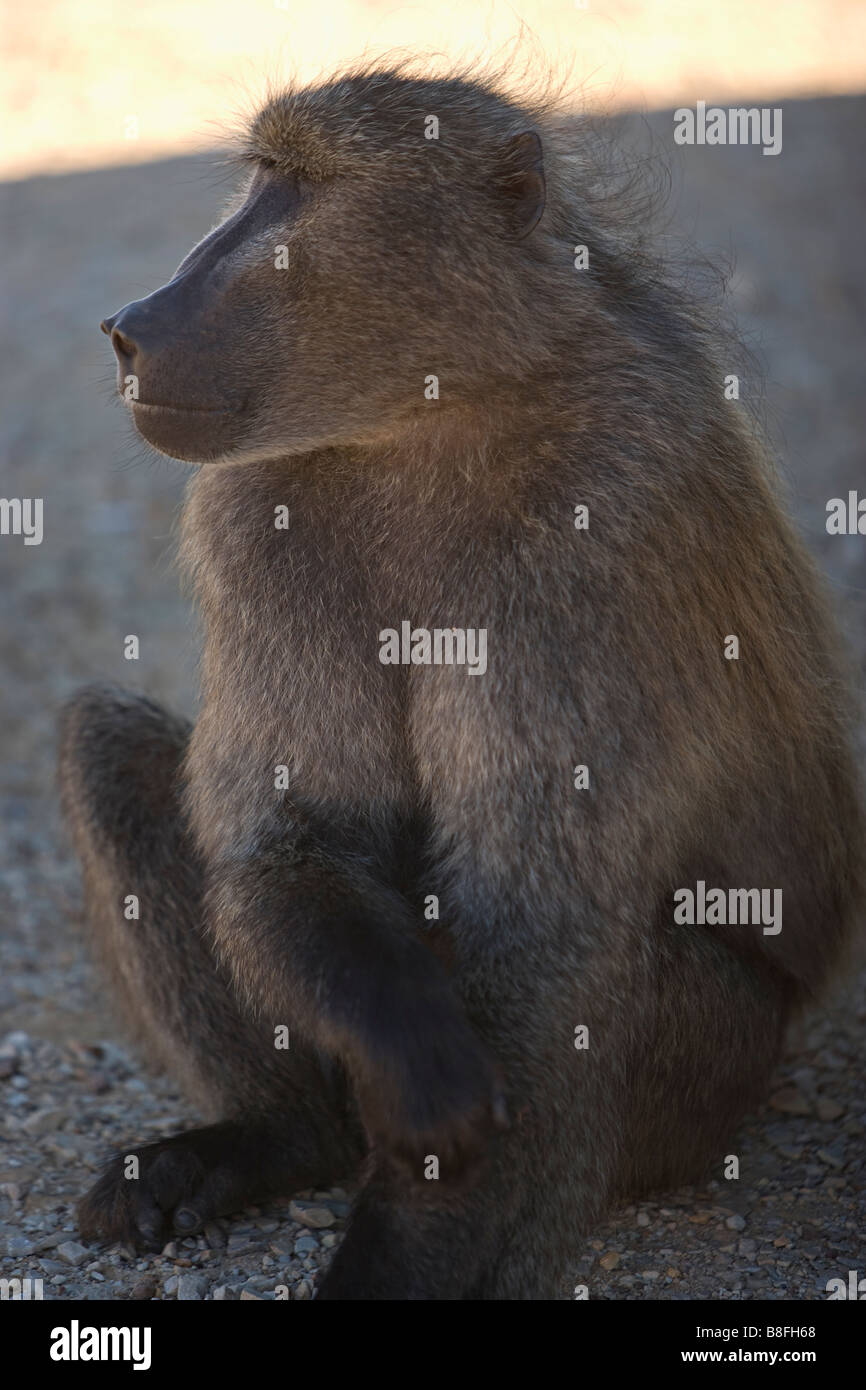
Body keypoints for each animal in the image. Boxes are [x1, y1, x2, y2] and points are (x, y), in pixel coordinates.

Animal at [58, 63, 864, 1300]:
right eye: (261, 174)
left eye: (296, 186)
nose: (127, 329)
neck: (432, 412)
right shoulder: (250, 509)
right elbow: (298, 832)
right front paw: (411, 1071)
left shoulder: (609, 507)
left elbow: (538, 925)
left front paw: (394, 1257)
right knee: (104, 743)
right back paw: (271, 1140)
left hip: (722, 1061)